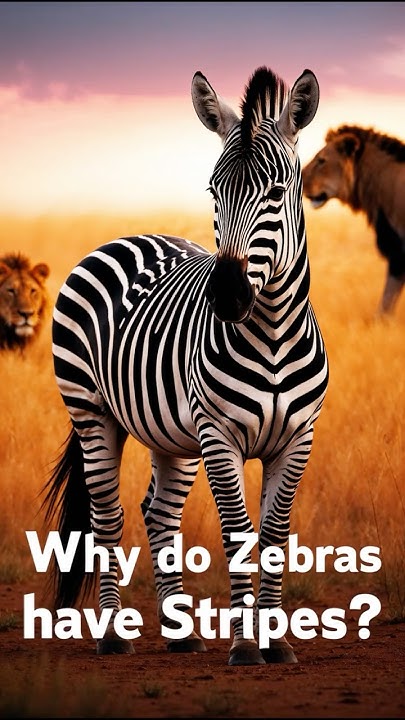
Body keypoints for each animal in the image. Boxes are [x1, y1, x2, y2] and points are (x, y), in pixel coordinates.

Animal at [42, 65, 328, 666]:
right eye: (214, 192)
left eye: (276, 192)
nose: (227, 296)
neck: (271, 335)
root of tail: (128, 236)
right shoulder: (219, 433)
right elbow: (238, 532)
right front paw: (244, 646)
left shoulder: (298, 437)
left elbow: (274, 534)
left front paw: (275, 642)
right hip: (91, 411)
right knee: (108, 516)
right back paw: (111, 634)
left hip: (171, 434)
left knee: (158, 512)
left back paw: (178, 631)